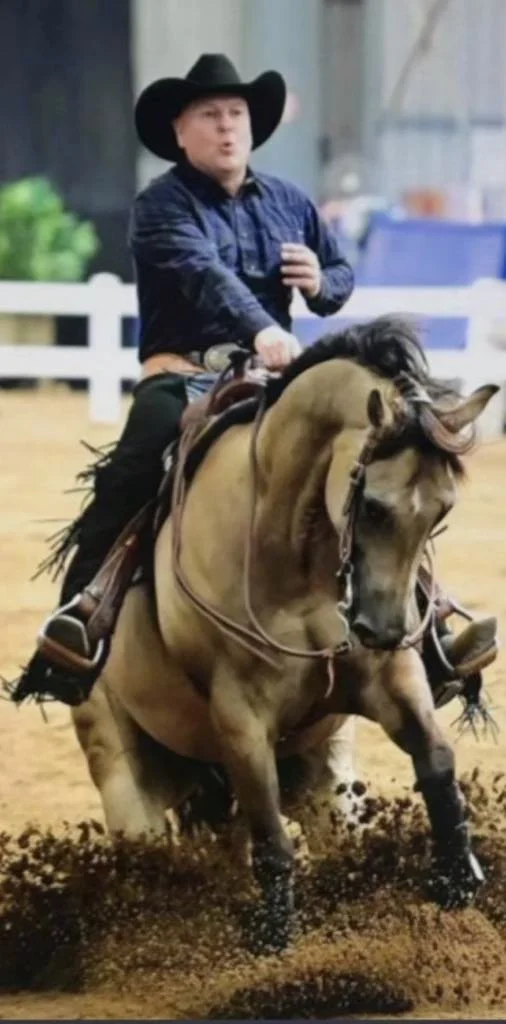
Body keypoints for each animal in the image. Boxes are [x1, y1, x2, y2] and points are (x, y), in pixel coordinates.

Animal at [71, 316, 497, 950]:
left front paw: (457, 882)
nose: (385, 628)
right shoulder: (241, 718)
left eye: (441, 512)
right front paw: (273, 940)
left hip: (322, 780)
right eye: (372, 506)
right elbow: (271, 838)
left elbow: (438, 761)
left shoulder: (392, 679)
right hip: (125, 780)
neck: (298, 568)